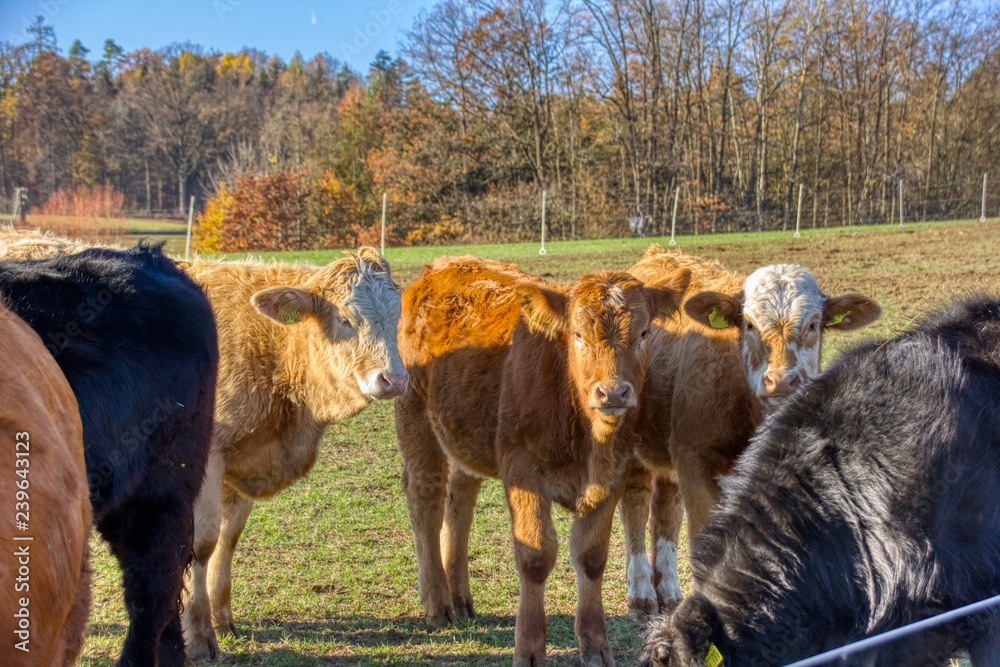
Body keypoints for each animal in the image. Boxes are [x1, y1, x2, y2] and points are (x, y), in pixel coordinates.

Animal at [176, 248, 409, 661]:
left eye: (396, 317)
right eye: (345, 319)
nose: (394, 380)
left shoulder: (239, 461)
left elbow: (227, 538)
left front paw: (222, 620)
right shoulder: (207, 457)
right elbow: (201, 543)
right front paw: (199, 636)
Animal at [395, 255, 689, 666]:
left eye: (644, 333)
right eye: (578, 335)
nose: (613, 392)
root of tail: (441, 265)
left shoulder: (612, 474)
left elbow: (592, 556)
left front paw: (595, 645)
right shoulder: (523, 467)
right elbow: (535, 556)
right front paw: (530, 648)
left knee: (460, 498)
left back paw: (461, 596)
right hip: (413, 409)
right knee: (426, 495)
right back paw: (438, 603)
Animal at [620, 246, 881, 618]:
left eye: (813, 325)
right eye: (750, 324)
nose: (781, 380)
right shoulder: (694, 462)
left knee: (665, 509)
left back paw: (668, 590)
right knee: (636, 504)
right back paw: (641, 591)